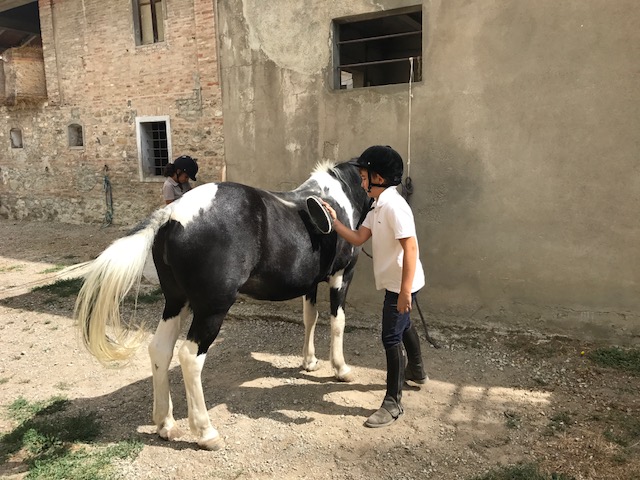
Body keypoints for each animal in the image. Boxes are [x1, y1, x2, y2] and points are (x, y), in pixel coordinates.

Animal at [74, 160, 369, 450]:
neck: (336, 198)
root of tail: (172, 214)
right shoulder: (342, 276)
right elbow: (337, 322)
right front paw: (341, 369)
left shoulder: (310, 284)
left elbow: (310, 318)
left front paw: (309, 361)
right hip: (211, 310)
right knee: (190, 357)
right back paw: (206, 433)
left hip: (177, 302)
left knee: (160, 350)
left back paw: (166, 424)